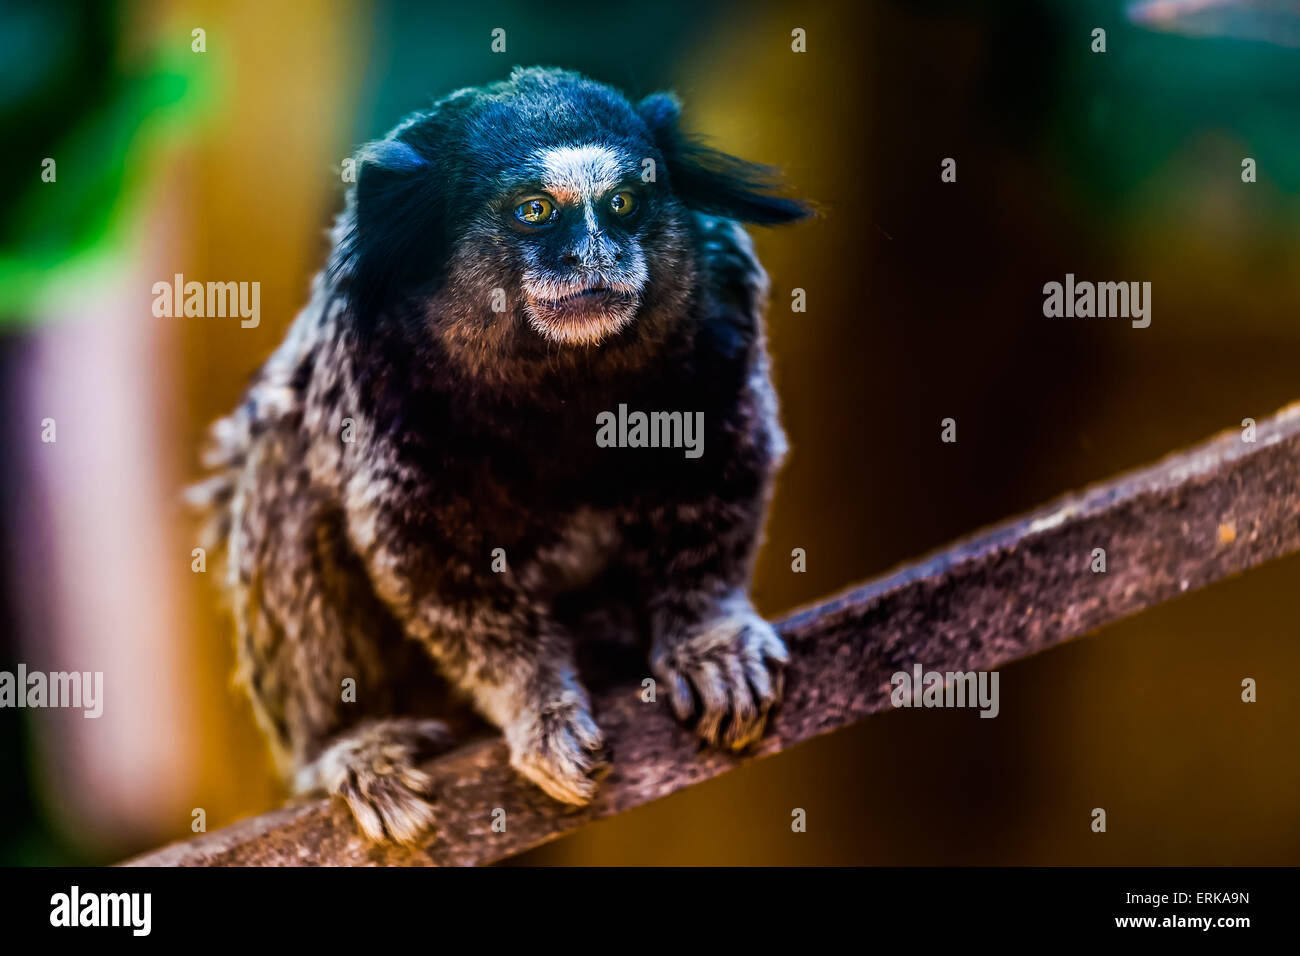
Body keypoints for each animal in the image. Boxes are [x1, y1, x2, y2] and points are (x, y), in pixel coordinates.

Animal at [189, 66, 811, 844]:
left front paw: (709, 637)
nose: (596, 256)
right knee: (286, 471)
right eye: (535, 211)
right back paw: (348, 742)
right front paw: (538, 707)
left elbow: (720, 470)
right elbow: (428, 559)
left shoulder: (722, 304)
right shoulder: (369, 363)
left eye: (624, 204)